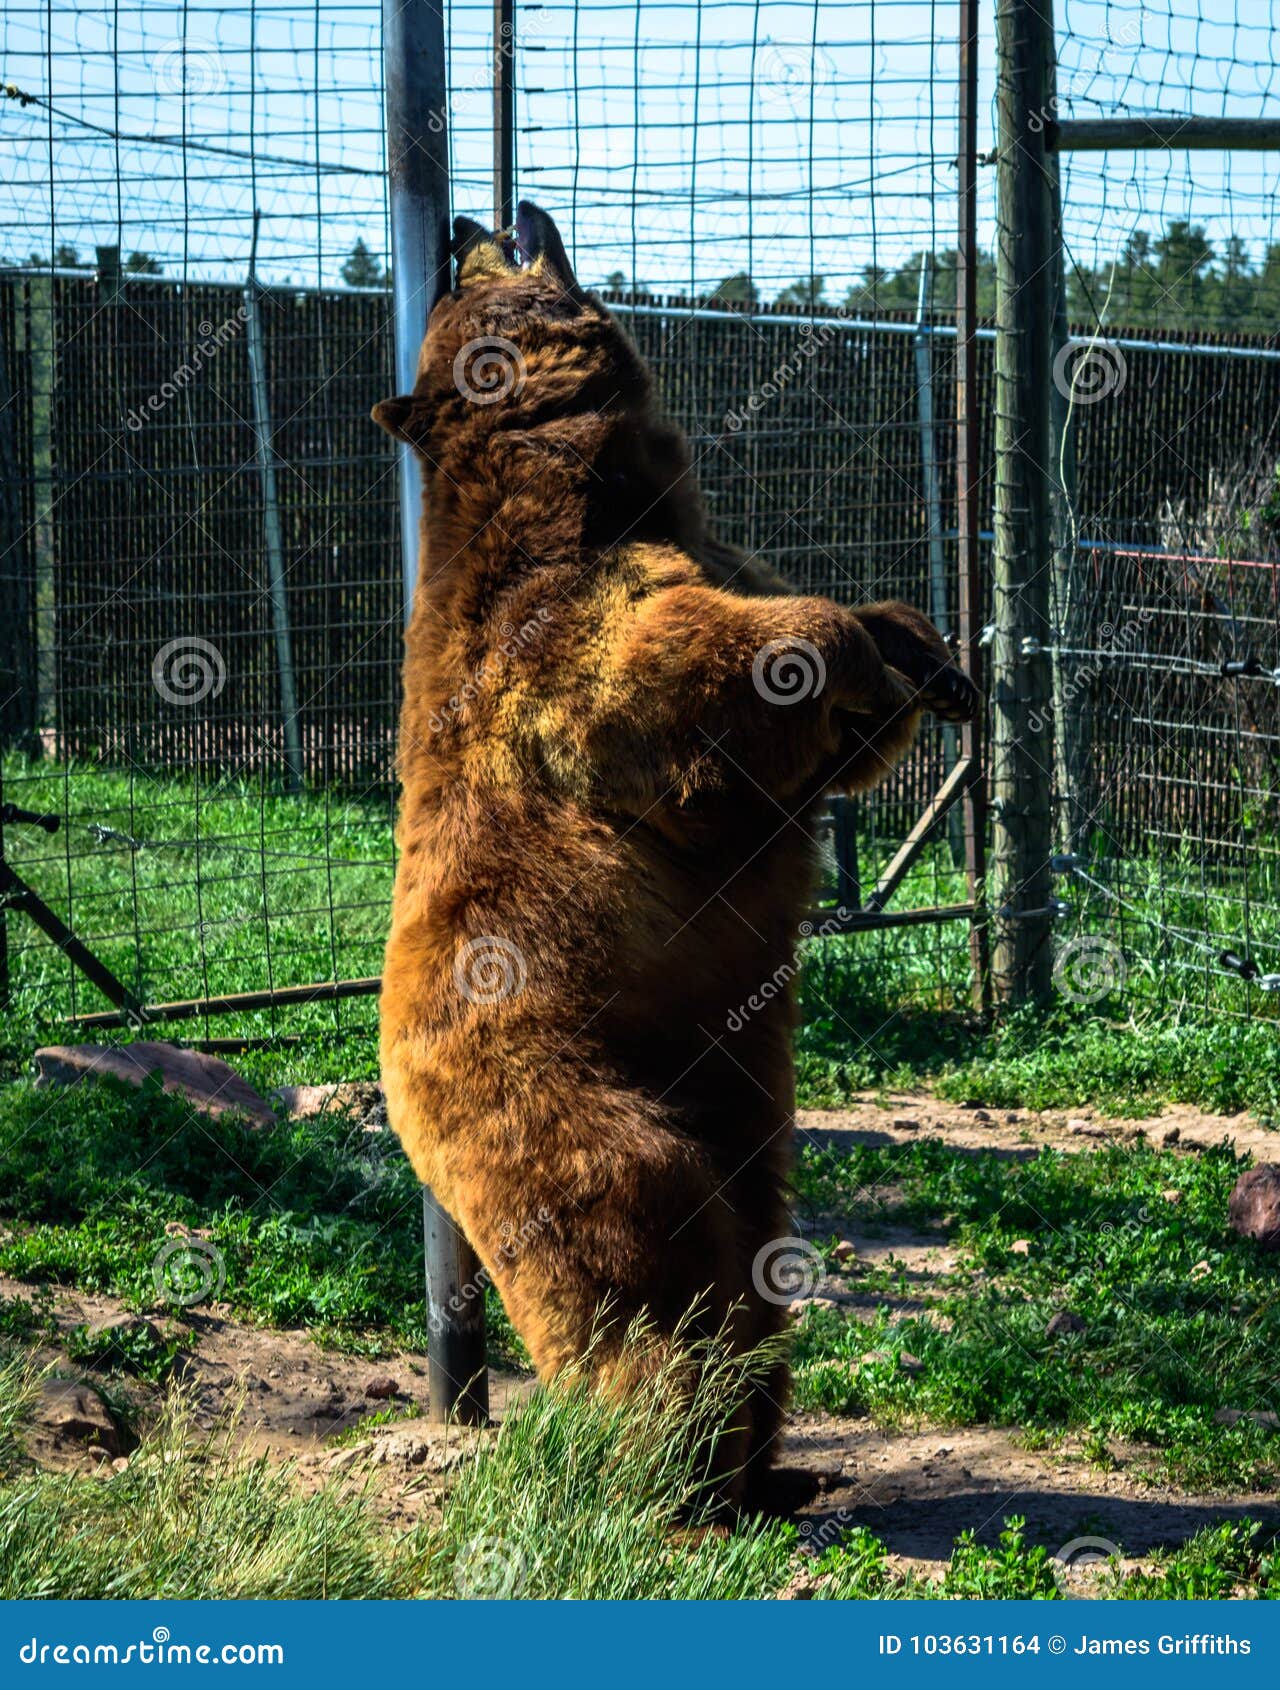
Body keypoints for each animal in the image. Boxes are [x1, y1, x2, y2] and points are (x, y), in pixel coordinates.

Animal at [373, 201, 977, 1512]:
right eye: (459, 275)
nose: (468, 214)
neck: (601, 486)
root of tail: (404, 1111)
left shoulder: (697, 546)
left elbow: (820, 668)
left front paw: (928, 657)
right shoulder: (565, 657)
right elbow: (714, 668)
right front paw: (863, 654)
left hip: (739, 1117)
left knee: (750, 1272)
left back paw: (769, 1471)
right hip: (571, 1104)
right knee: (646, 1275)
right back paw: (676, 1476)